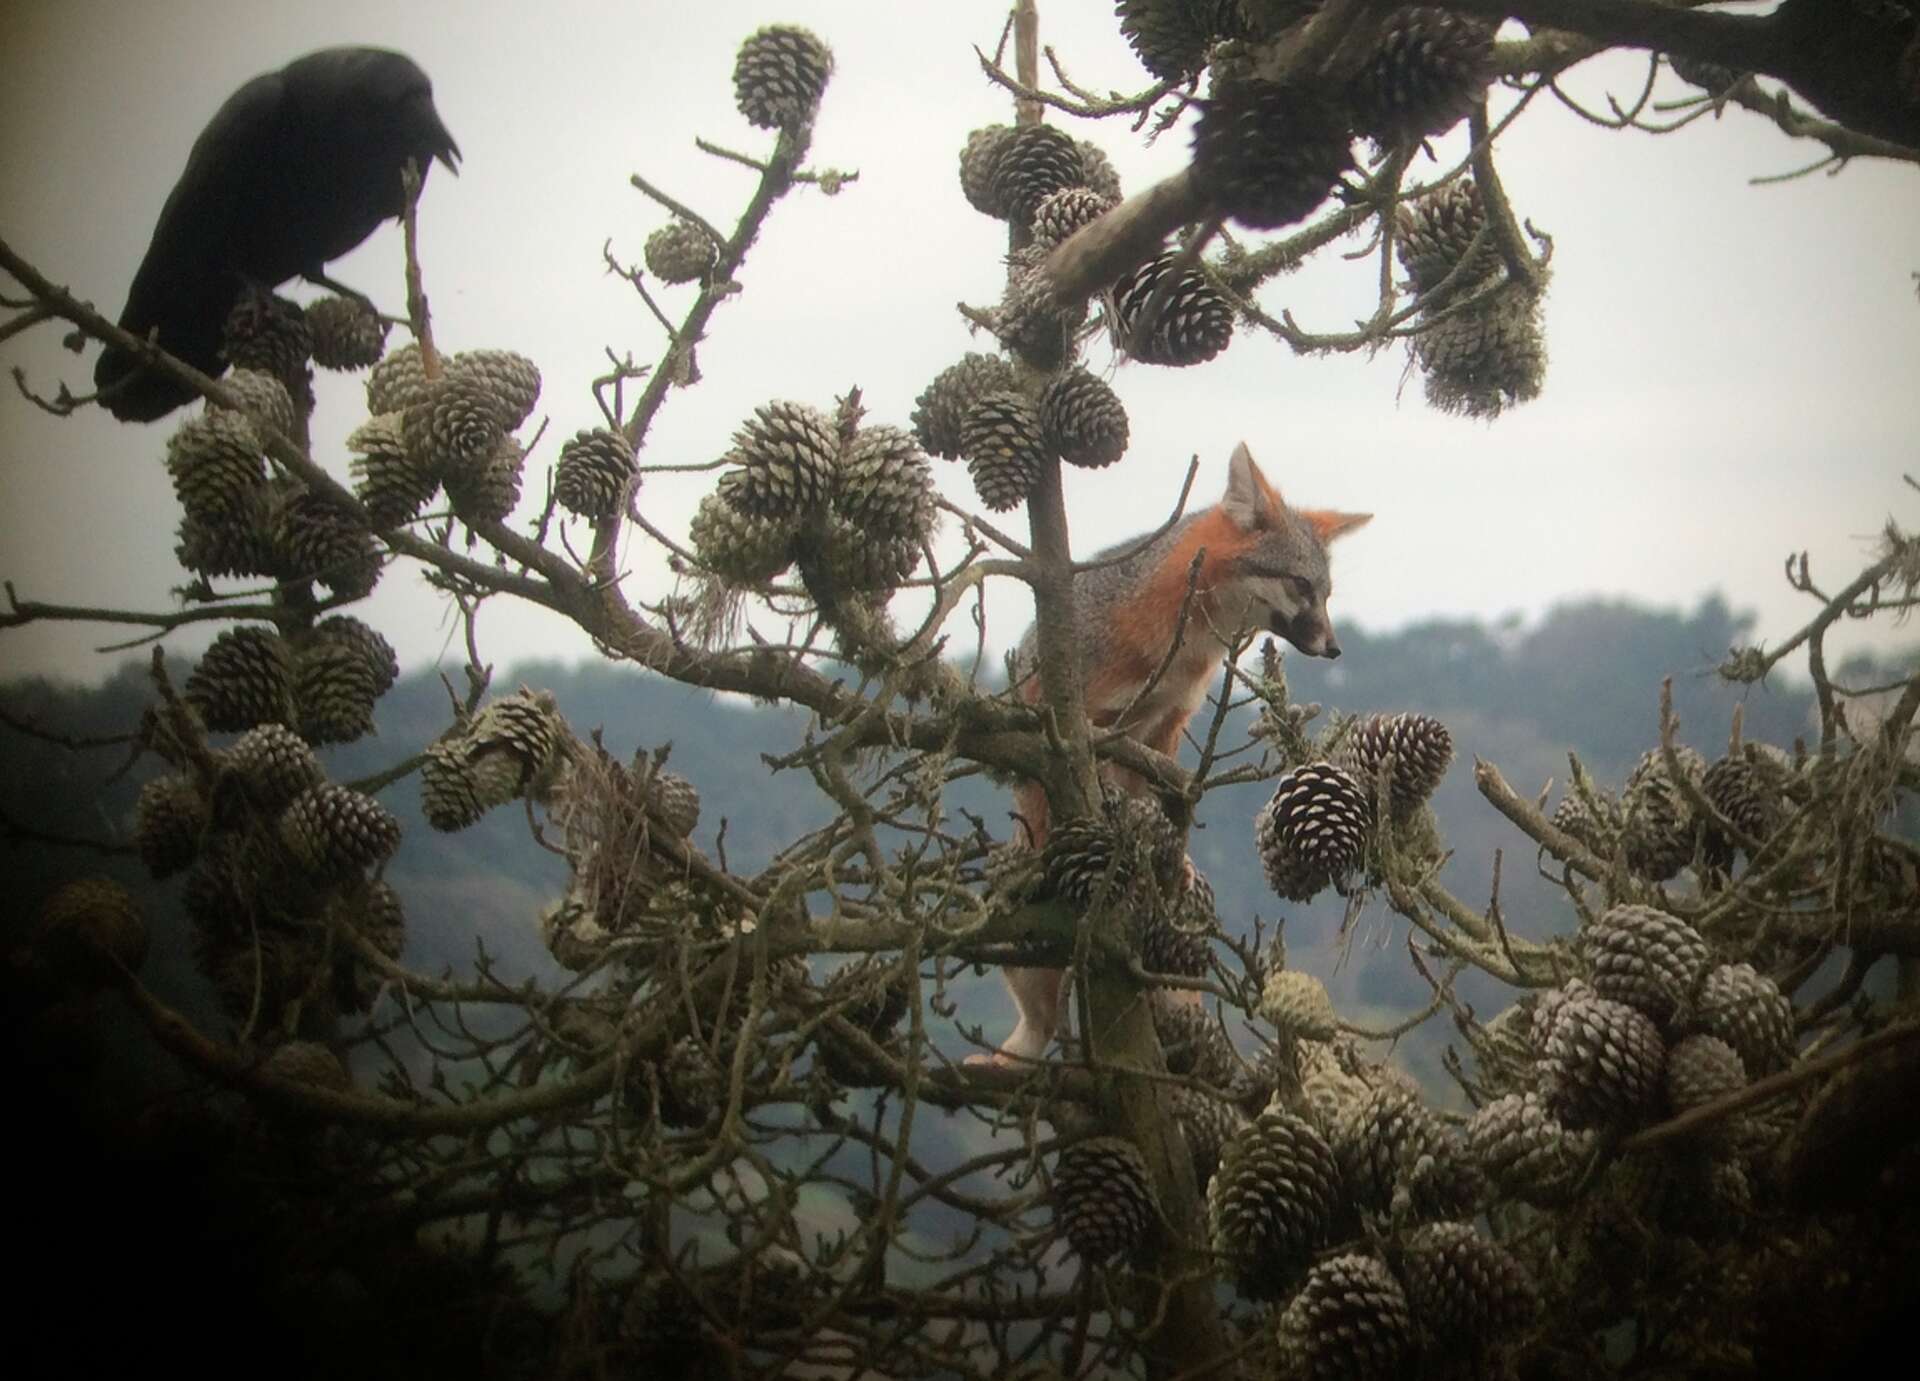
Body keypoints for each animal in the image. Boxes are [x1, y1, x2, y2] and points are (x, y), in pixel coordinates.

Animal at [977, 442, 1371, 1066]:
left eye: (1327, 594)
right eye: (1301, 585)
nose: (1334, 648)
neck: (1180, 645)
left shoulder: (1162, 729)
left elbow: (1162, 808)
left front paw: (1168, 859)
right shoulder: (1077, 727)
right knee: (1034, 1027)